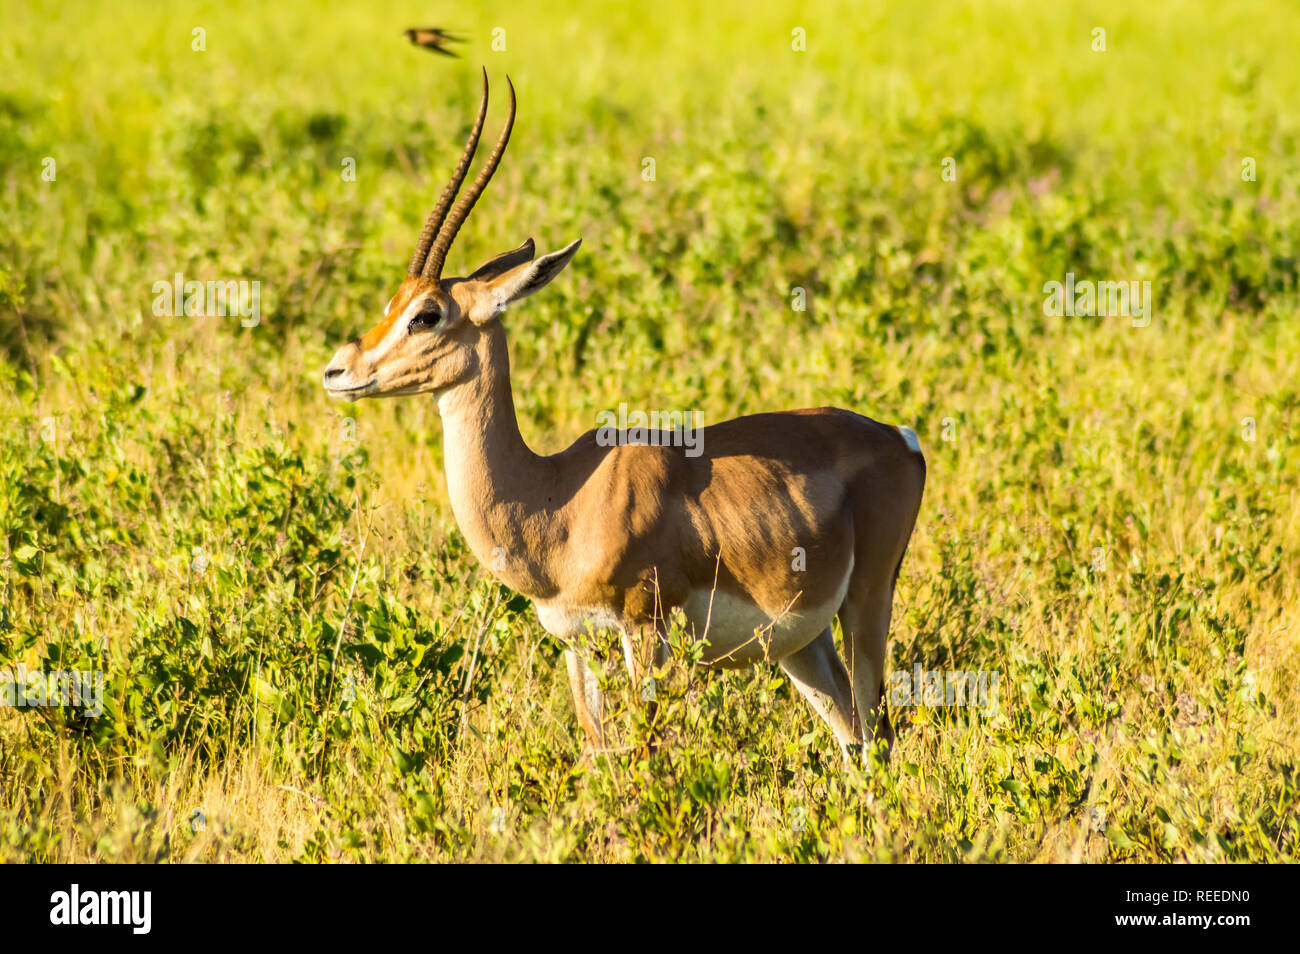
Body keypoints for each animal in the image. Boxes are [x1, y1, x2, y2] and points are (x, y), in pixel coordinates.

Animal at [322, 70, 927, 762]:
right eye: (390, 303)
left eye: (426, 313)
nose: (338, 370)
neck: (558, 501)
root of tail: (899, 437)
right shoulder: (573, 640)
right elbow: (596, 746)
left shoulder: (645, 631)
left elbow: (646, 749)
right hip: (802, 641)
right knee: (855, 740)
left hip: (867, 605)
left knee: (881, 731)